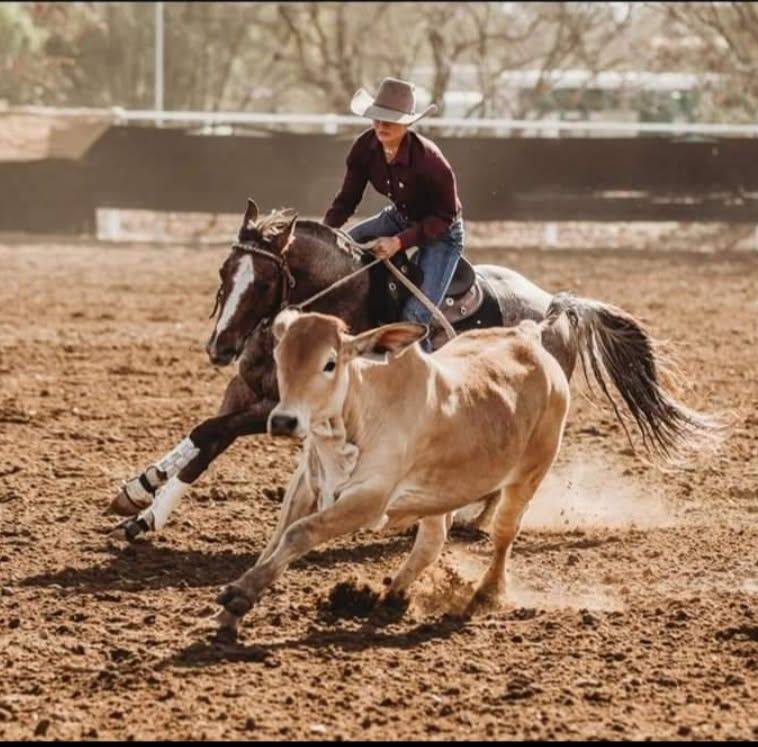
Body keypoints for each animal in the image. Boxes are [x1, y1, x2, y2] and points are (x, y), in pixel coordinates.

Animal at [107, 199, 724, 541]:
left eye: (261, 282)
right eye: (223, 272)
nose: (219, 346)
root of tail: (554, 306)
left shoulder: (286, 412)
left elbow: (208, 433)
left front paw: (143, 494)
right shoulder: (243, 391)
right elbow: (203, 443)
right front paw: (143, 501)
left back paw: (475, 520)